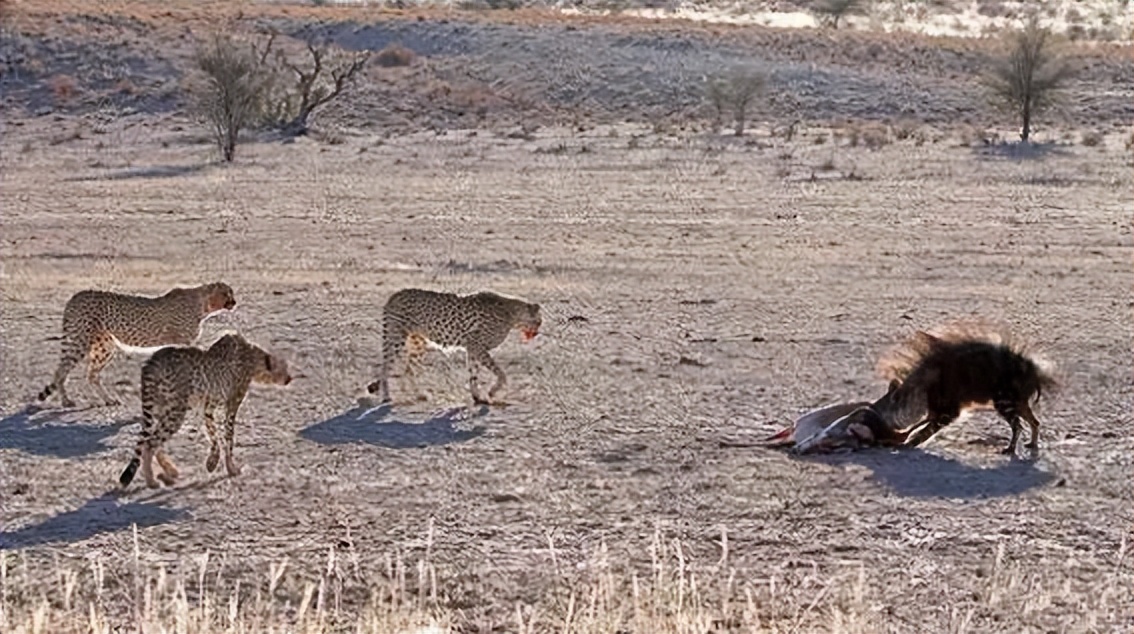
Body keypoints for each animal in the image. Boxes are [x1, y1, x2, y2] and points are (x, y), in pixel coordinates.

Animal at [37, 282, 236, 408]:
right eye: (227, 293)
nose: (235, 302)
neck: (203, 304)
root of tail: (76, 296)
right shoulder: (182, 342)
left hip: (104, 347)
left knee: (91, 375)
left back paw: (109, 400)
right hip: (80, 341)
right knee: (61, 370)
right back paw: (66, 401)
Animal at [118, 332, 292, 490]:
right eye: (283, 367)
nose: (289, 378)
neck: (252, 356)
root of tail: (151, 361)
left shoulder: (209, 406)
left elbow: (214, 435)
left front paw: (212, 462)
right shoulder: (230, 407)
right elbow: (228, 438)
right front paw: (230, 468)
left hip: (162, 408)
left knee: (153, 441)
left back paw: (170, 471)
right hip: (175, 412)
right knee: (150, 444)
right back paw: (152, 481)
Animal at [366, 288, 542, 405]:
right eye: (539, 321)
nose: (537, 332)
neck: (512, 314)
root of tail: (395, 294)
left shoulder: (473, 348)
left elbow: (473, 374)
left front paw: (477, 397)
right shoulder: (477, 346)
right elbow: (500, 373)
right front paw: (491, 391)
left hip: (418, 344)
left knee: (409, 370)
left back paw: (419, 395)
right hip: (397, 340)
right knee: (385, 367)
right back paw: (387, 397)